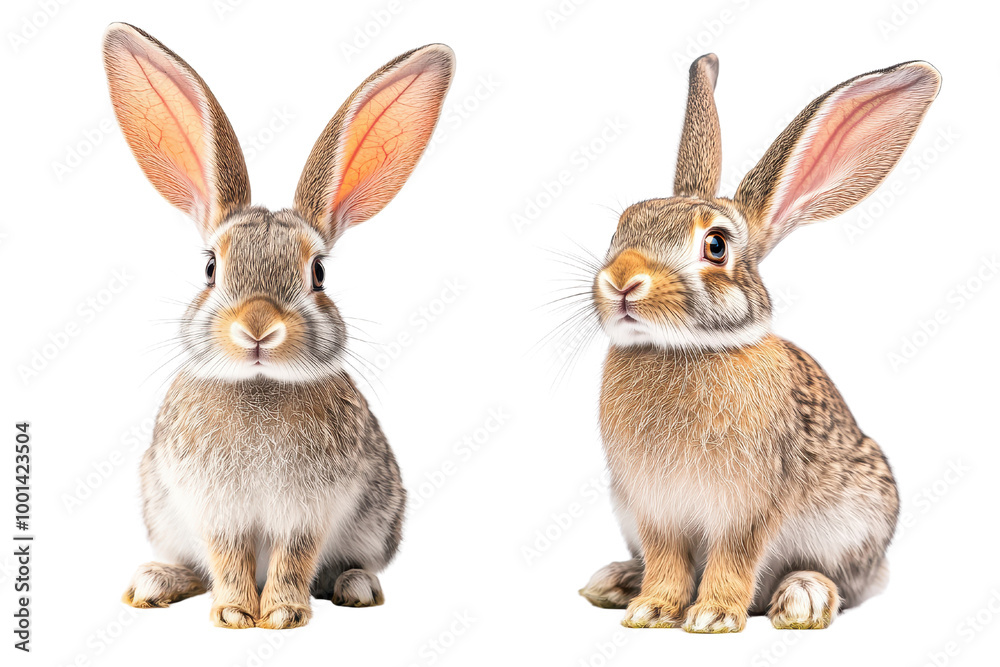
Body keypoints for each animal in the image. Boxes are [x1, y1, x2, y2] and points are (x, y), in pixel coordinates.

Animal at [103, 22, 454, 628]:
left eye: (318, 273)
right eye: (210, 268)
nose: (258, 326)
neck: (261, 386)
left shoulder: (309, 511)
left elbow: (295, 558)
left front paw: (283, 614)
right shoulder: (215, 510)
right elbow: (227, 559)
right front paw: (234, 615)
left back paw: (356, 586)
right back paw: (155, 583)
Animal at [577, 54, 940, 632]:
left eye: (716, 246)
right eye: (620, 230)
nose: (622, 282)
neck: (687, 349)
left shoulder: (750, 508)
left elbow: (735, 556)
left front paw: (714, 617)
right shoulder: (653, 510)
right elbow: (665, 560)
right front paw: (652, 609)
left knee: (840, 583)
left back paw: (803, 597)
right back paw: (617, 581)